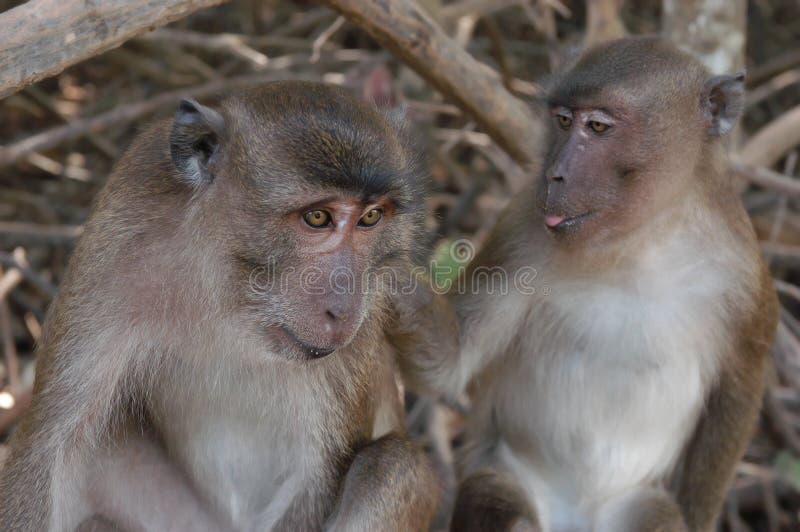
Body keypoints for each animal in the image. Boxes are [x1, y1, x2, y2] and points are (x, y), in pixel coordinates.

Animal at [0, 81, 440, 531]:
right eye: (318, 217)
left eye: (370, 217)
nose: (345, 310)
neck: (230, 297)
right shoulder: (117, 248)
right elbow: (52, 448)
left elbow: (318, 478)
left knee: (395, 465)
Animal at [391, 37, 779, 532]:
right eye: (562, 120)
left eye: (597, 126)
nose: (554, 174)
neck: (636, 244)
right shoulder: (520, 232)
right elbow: (451, 366)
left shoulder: (741, 268)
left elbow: (738, 390)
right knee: (496, 497)